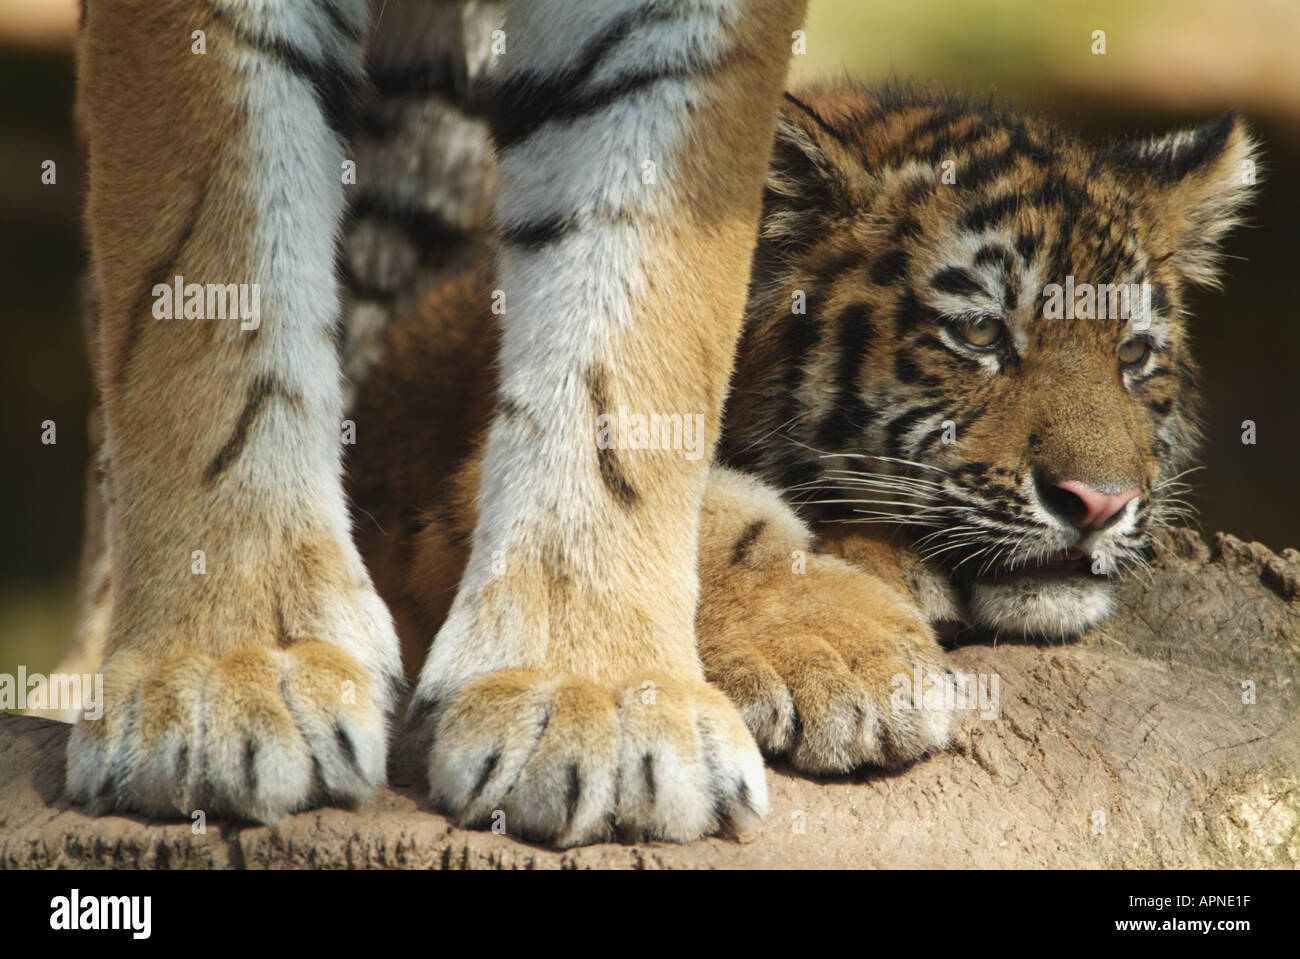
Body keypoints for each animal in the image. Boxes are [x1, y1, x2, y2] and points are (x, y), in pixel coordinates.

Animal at [59, 0, 1255, 850]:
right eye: (978, 336)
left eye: (1136, 359)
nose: (1101, 503)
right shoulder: (461, 512)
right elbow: (695, 519)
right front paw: (854, 659)